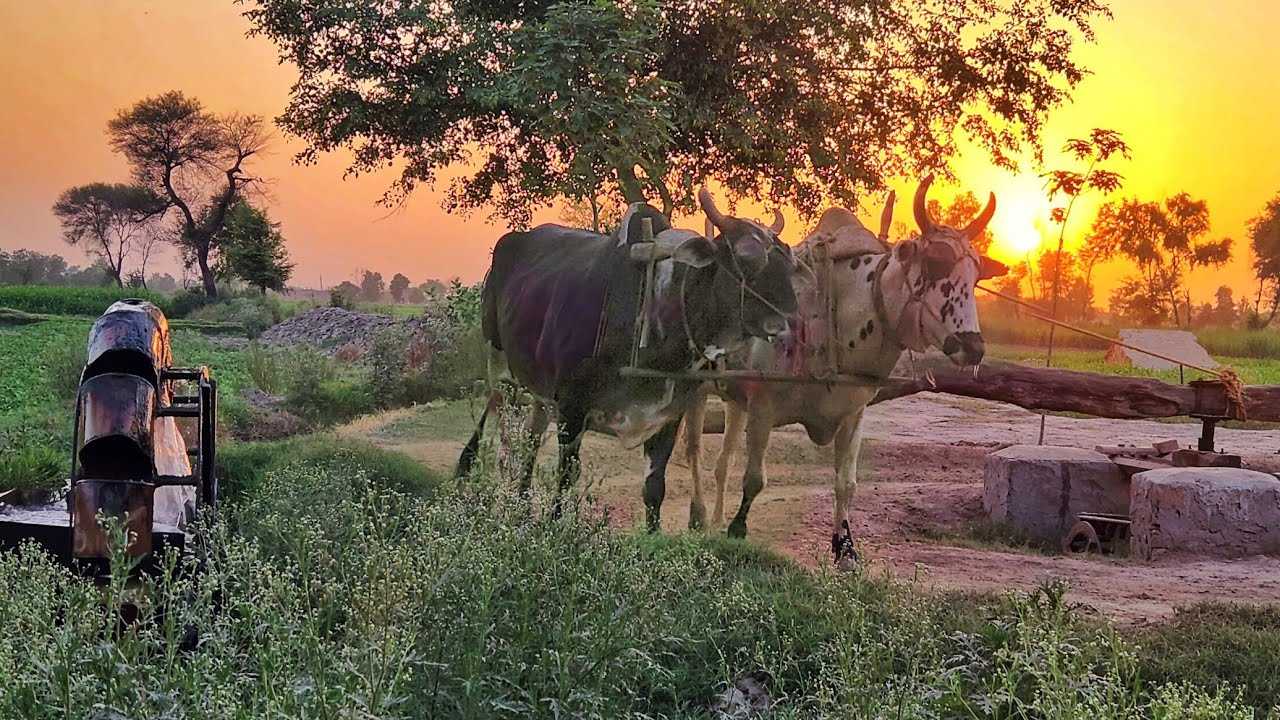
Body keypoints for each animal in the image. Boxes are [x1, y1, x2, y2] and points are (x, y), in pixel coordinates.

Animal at [456, 189, 800, 530]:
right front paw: (553, 527)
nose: (794, 322)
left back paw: (523, 509)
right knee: (505, 444)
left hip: (538, 388)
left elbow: (654, 487)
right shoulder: (571, 406)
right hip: (502, 374)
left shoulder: (668, 416)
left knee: (530, 439)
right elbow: (566, 476)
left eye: (787, 258)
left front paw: (653, 534)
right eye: (746, 256)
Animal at [680, 175, 1007, 565]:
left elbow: (845, 483)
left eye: (975, 276)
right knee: (694, 450)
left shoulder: (853, 414)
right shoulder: (763, 407)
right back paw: (698, 516)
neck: (835, 311)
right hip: (698, 389)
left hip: (733, 400)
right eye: (933, 264)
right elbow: (754, 478)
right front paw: (737, 530)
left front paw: (845, 548)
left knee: (722, 461)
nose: (973, 346)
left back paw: (713, 519)